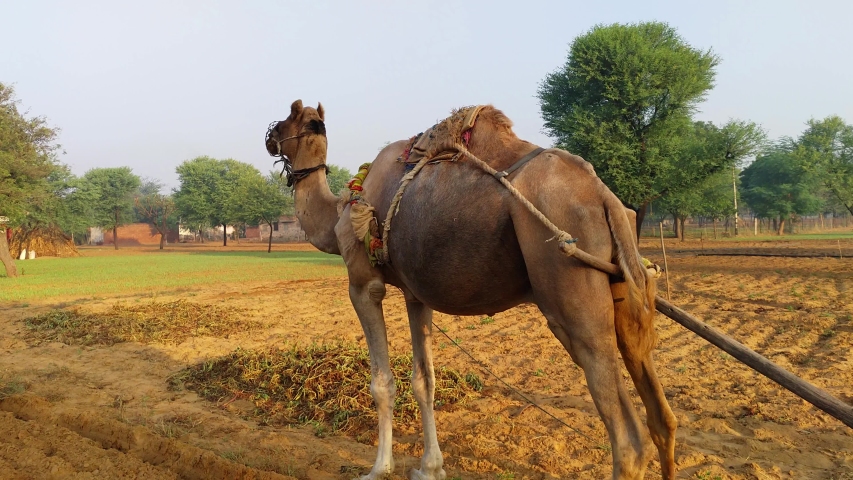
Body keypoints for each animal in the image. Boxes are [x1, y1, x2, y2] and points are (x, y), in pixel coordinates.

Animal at [264, 100, 677, 480]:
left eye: (287, 120)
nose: (269, 137)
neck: (341, 210)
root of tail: (604, 197)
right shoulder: (416, 294)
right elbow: (424, 381)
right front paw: (430, 467)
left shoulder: (364, 283)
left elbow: (382, 383)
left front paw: (379, 468)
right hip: (624, 282)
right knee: (658, 408)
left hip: (570, 290)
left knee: (628, 440)